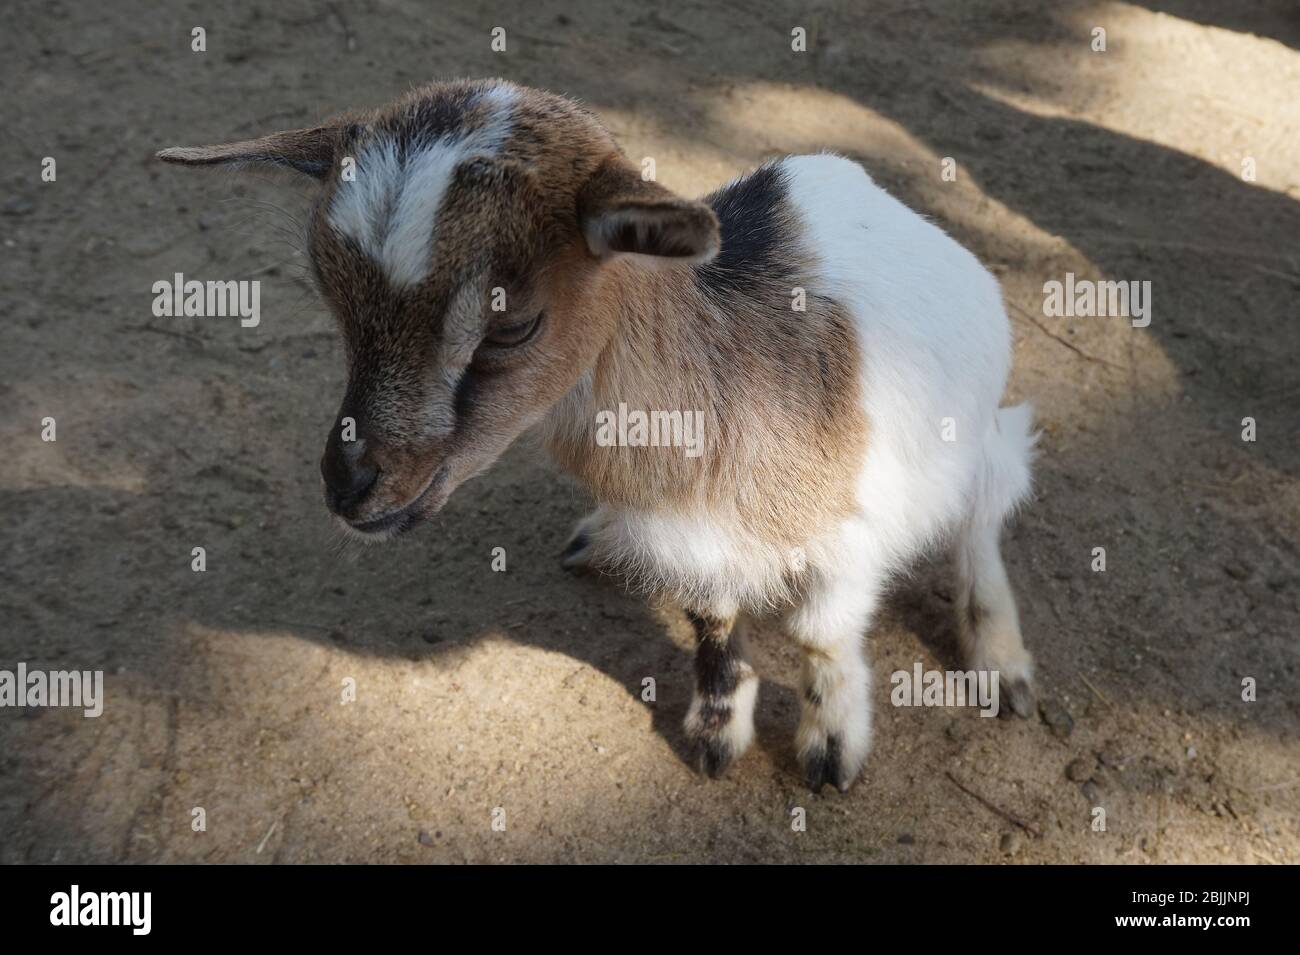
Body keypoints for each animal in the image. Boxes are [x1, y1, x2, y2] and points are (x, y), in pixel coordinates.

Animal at [158, 78, 1037, 792]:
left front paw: (831, 749)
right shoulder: (697, 535)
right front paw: (717, 733)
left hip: (980, 434)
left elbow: (820, 636)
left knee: (985, 513)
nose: (350, 486)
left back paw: (1000, 660)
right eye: (335, 306)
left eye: (512, 326)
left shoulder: (849, 531)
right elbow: (712, 619)